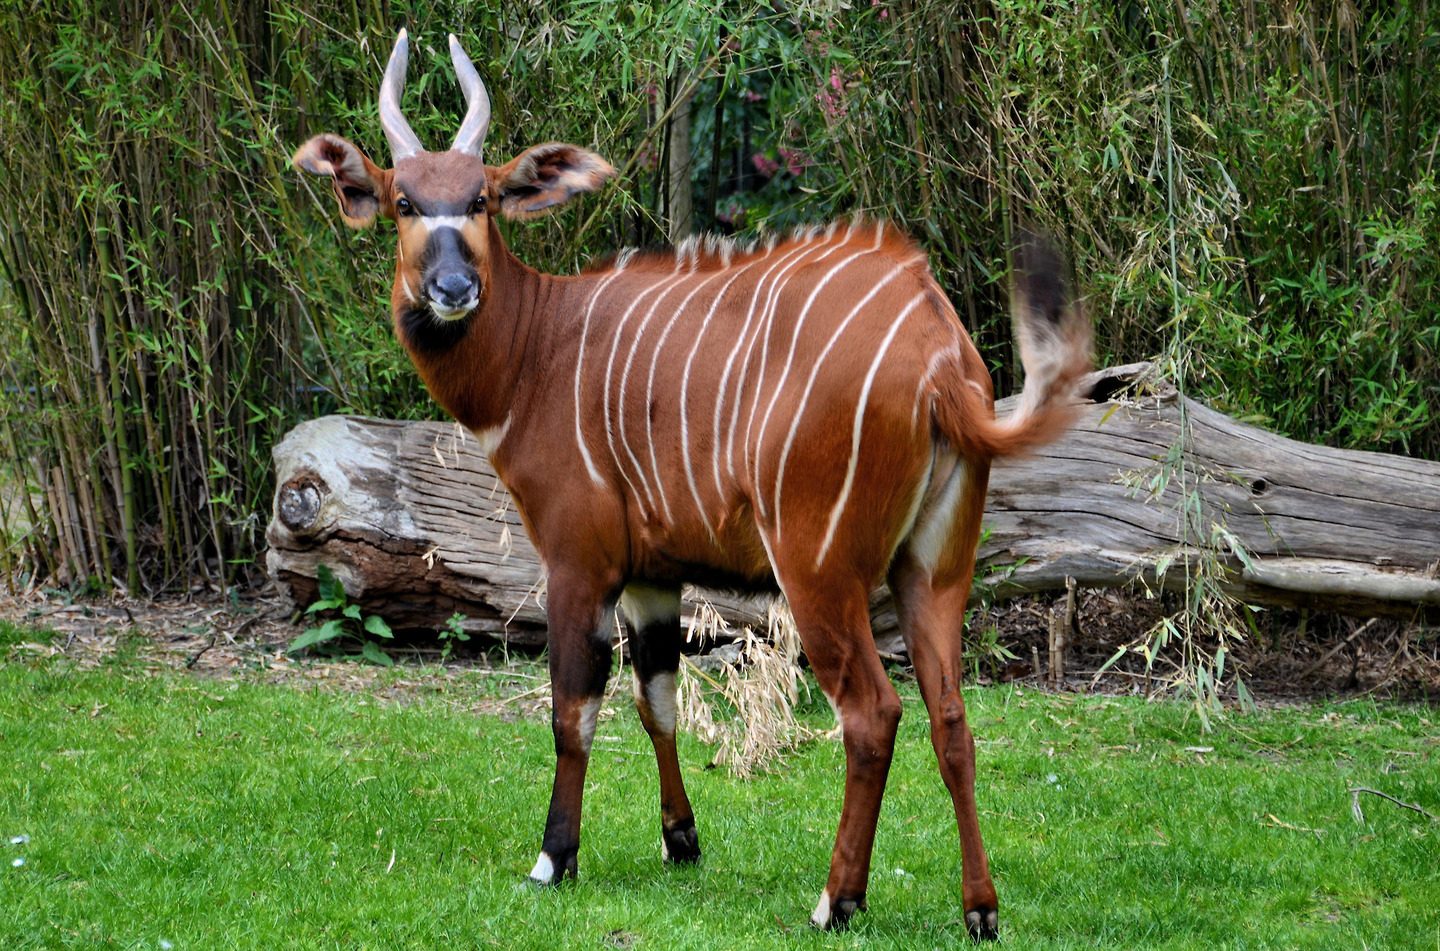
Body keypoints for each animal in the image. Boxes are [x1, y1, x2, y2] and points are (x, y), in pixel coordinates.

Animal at [293, 30, 1090, 940]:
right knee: (951, 717)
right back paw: (981, 910)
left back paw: (836, 900)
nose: (454, 289)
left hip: (818, 568)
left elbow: (573, 709)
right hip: (934, 567)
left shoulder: (577, 559)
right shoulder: (652, 573)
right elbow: (658, 698)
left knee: (873, 712)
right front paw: (682, 841)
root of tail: (942, 362)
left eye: (483, 199)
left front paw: (553, 859)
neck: (536, 349)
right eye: (403, 202)